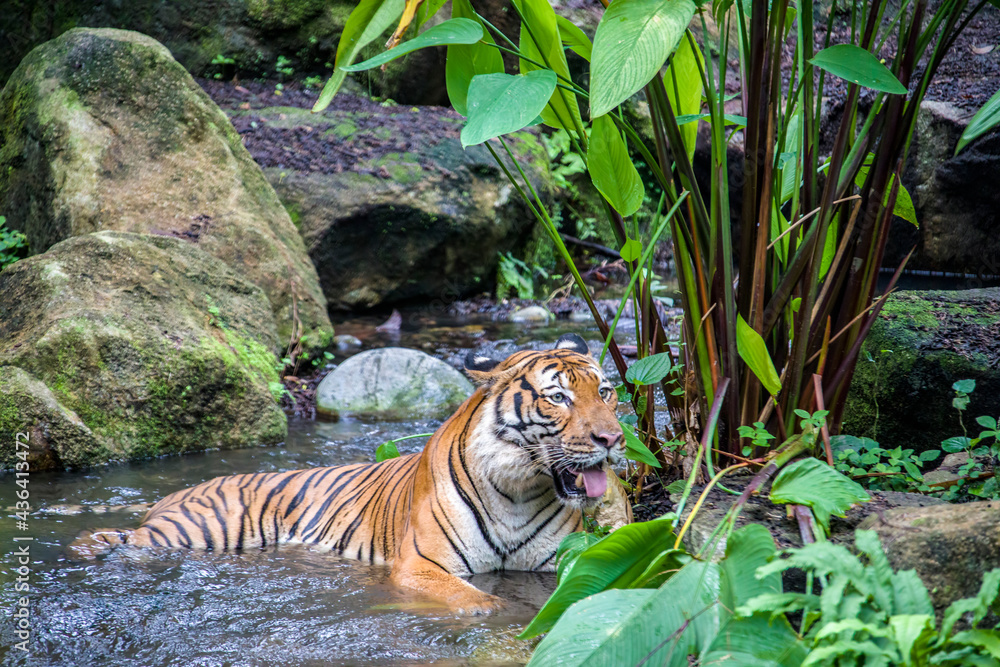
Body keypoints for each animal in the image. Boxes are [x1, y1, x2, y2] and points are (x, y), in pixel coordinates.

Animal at [71, 333, 627, 614]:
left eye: (606, 392)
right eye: (558, 398)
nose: (613, 439)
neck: (520, 489)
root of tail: (176, 492)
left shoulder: (569, 560)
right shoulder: (421, 565)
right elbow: (480, 603)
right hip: (193, 531)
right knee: (118, 537)